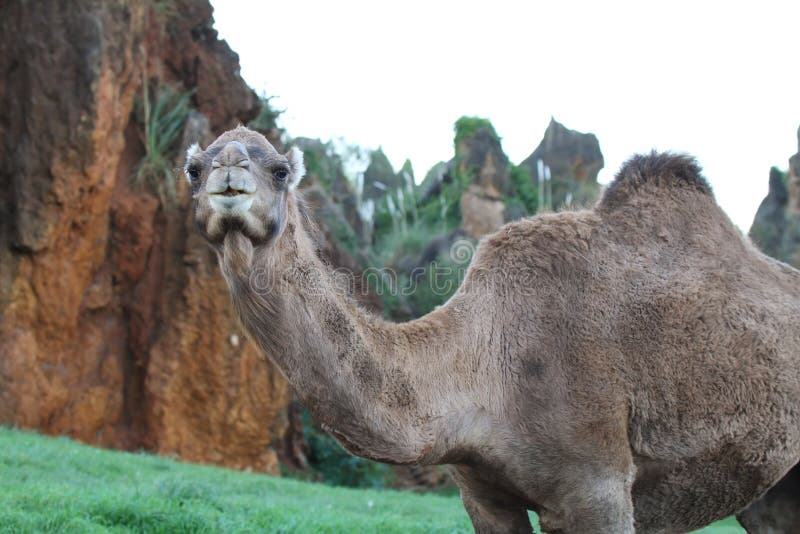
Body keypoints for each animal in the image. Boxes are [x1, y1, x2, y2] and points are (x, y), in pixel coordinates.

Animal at [185, 126, 800, 533]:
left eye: (279, 170)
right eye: (194, 168)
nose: (228, 176)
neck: (483, 372)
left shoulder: (598, 488)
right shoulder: (481, 492)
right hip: (770, 487)